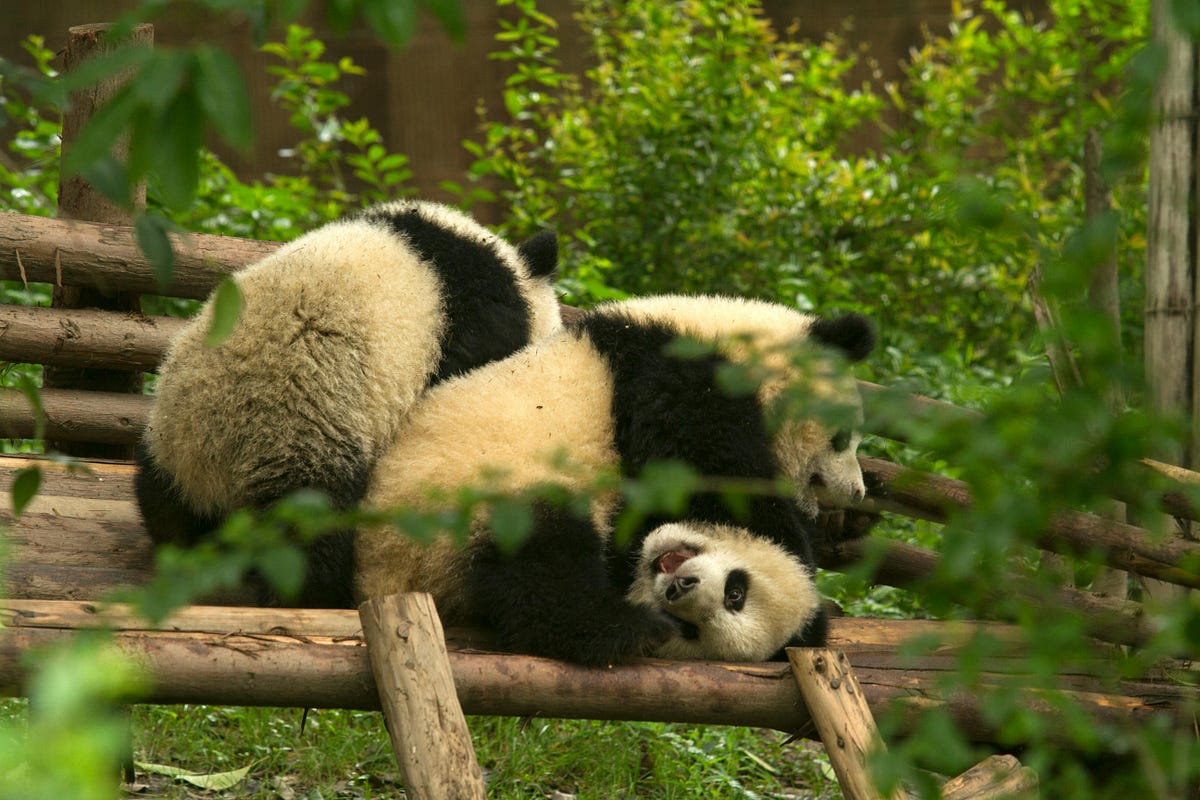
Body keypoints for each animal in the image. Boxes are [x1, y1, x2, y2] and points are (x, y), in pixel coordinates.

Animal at [135, 200, 561, 608]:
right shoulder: (477, 320)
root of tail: (207, 465)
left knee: (162, 505)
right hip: (297, 428)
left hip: (167, 435)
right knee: (312, 527)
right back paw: (308, 596)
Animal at [355, 293, 873, 666]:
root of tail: (380, 576)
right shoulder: (678, 378)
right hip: (463, 503)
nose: (857, 492)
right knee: (540, 561)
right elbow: (706, 471)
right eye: (841, 437)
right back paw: (619, 628)